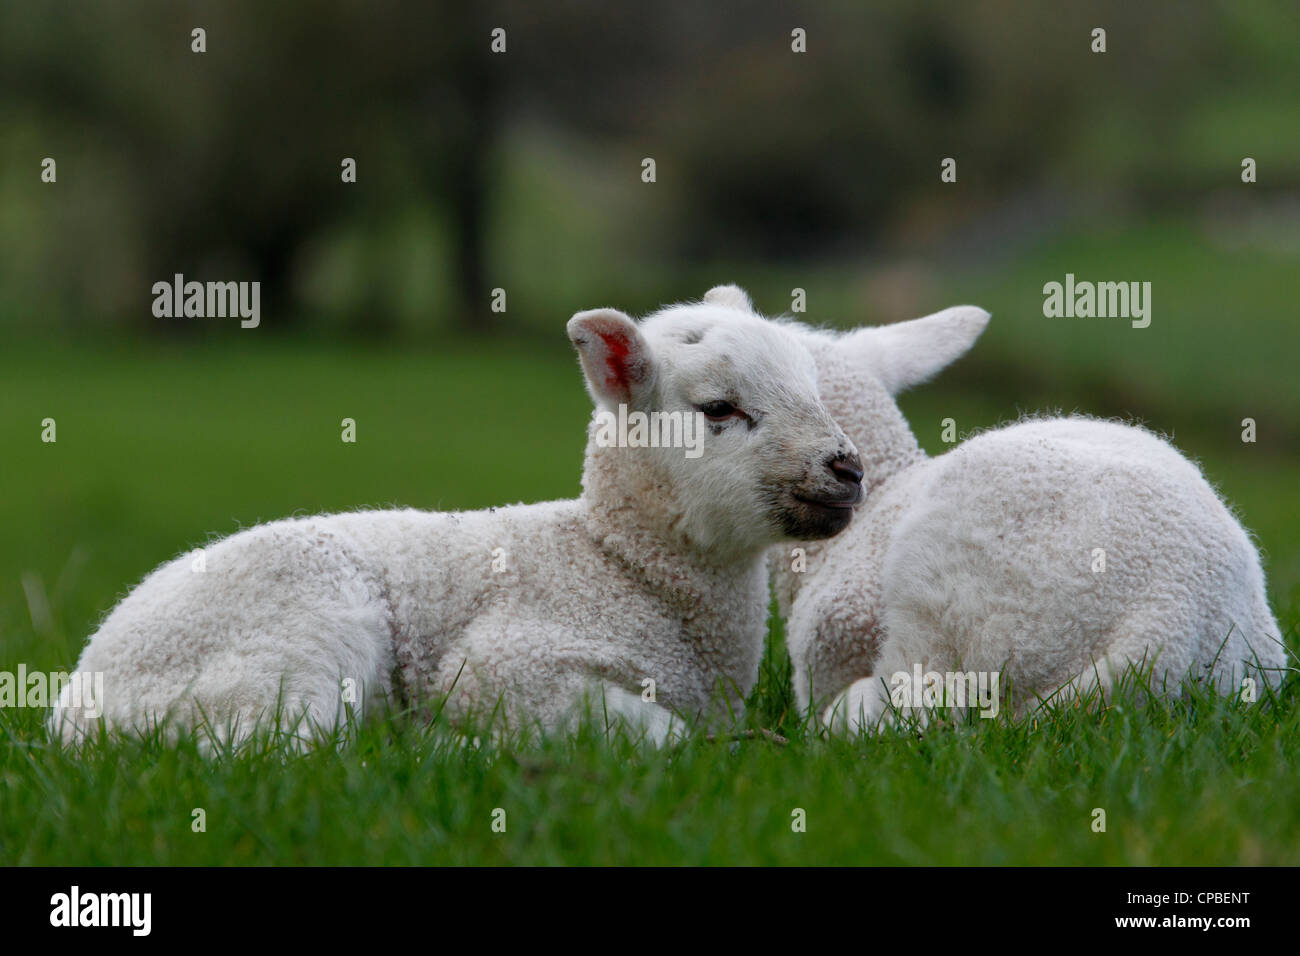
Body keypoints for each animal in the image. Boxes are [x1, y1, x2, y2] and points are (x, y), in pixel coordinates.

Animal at [49, 287, 864, 748]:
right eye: (718, 409)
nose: (848, 469)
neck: (619, 564)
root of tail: (74, 711)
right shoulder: (510, 667)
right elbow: (664, 739)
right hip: (297, 636)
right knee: (270, 755)